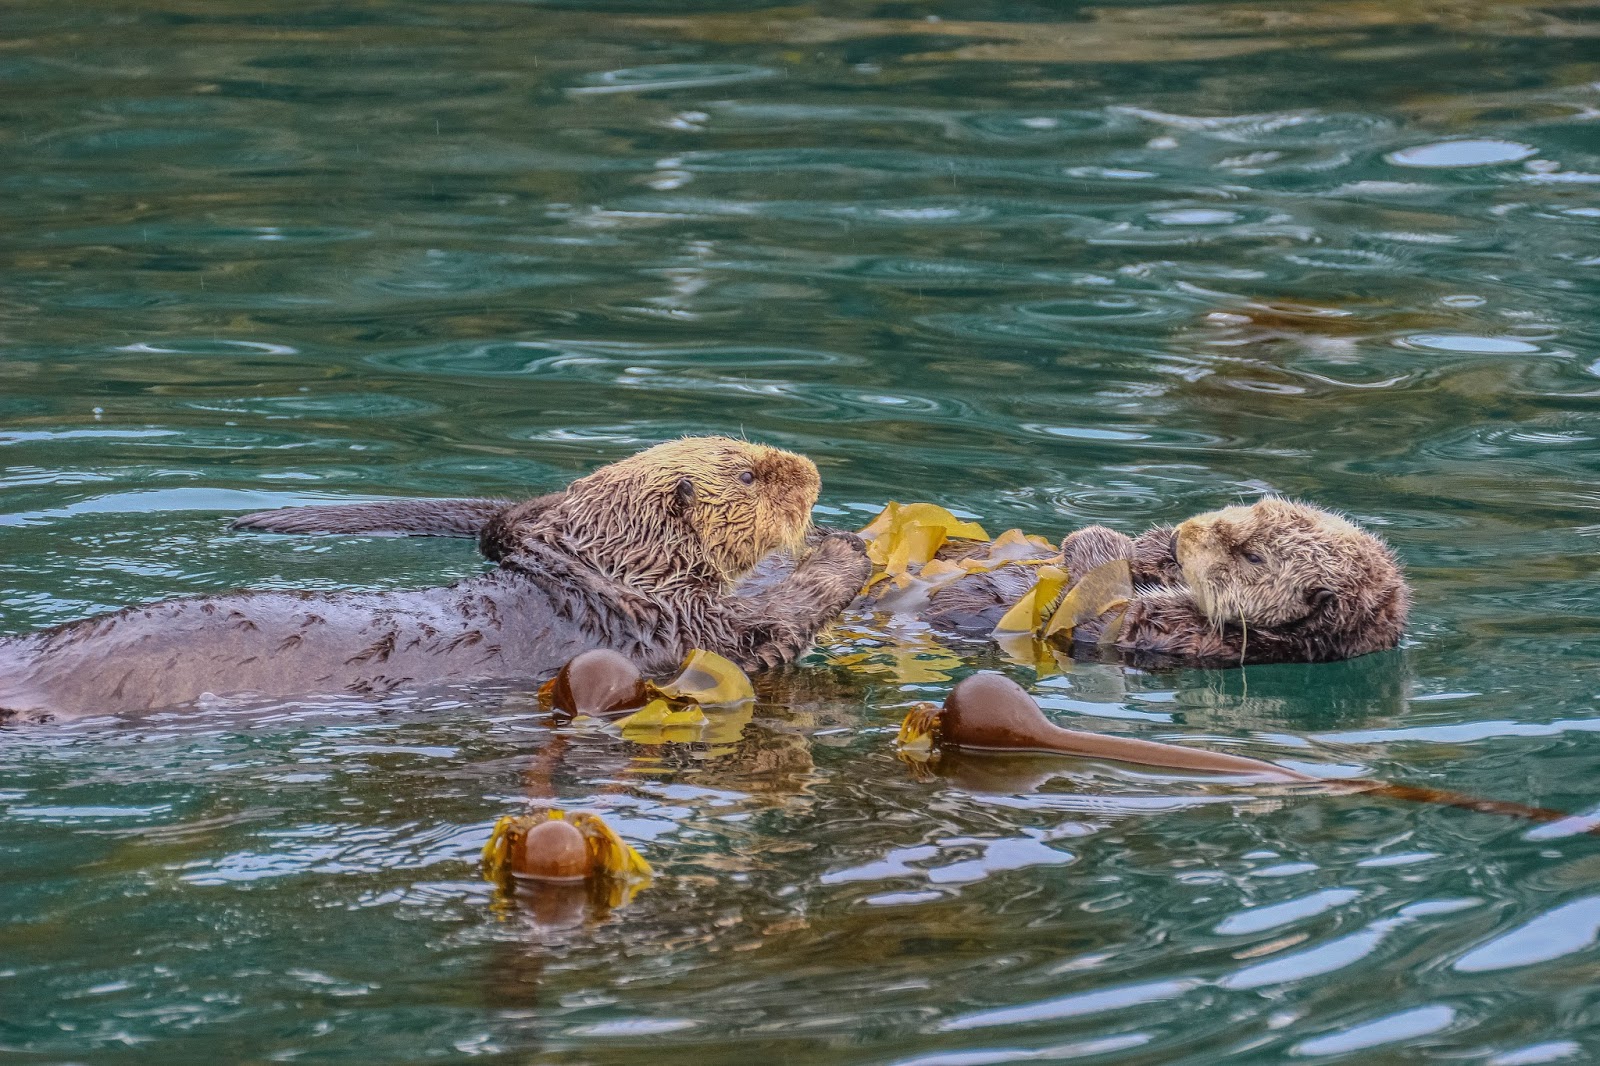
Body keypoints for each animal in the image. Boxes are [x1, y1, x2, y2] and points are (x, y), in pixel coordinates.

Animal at [0, 438, 871, 722]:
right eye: (751, 473)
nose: (812, 473)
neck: (607, 559)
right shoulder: (673, 623)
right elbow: (768, 628)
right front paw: (847, 549)